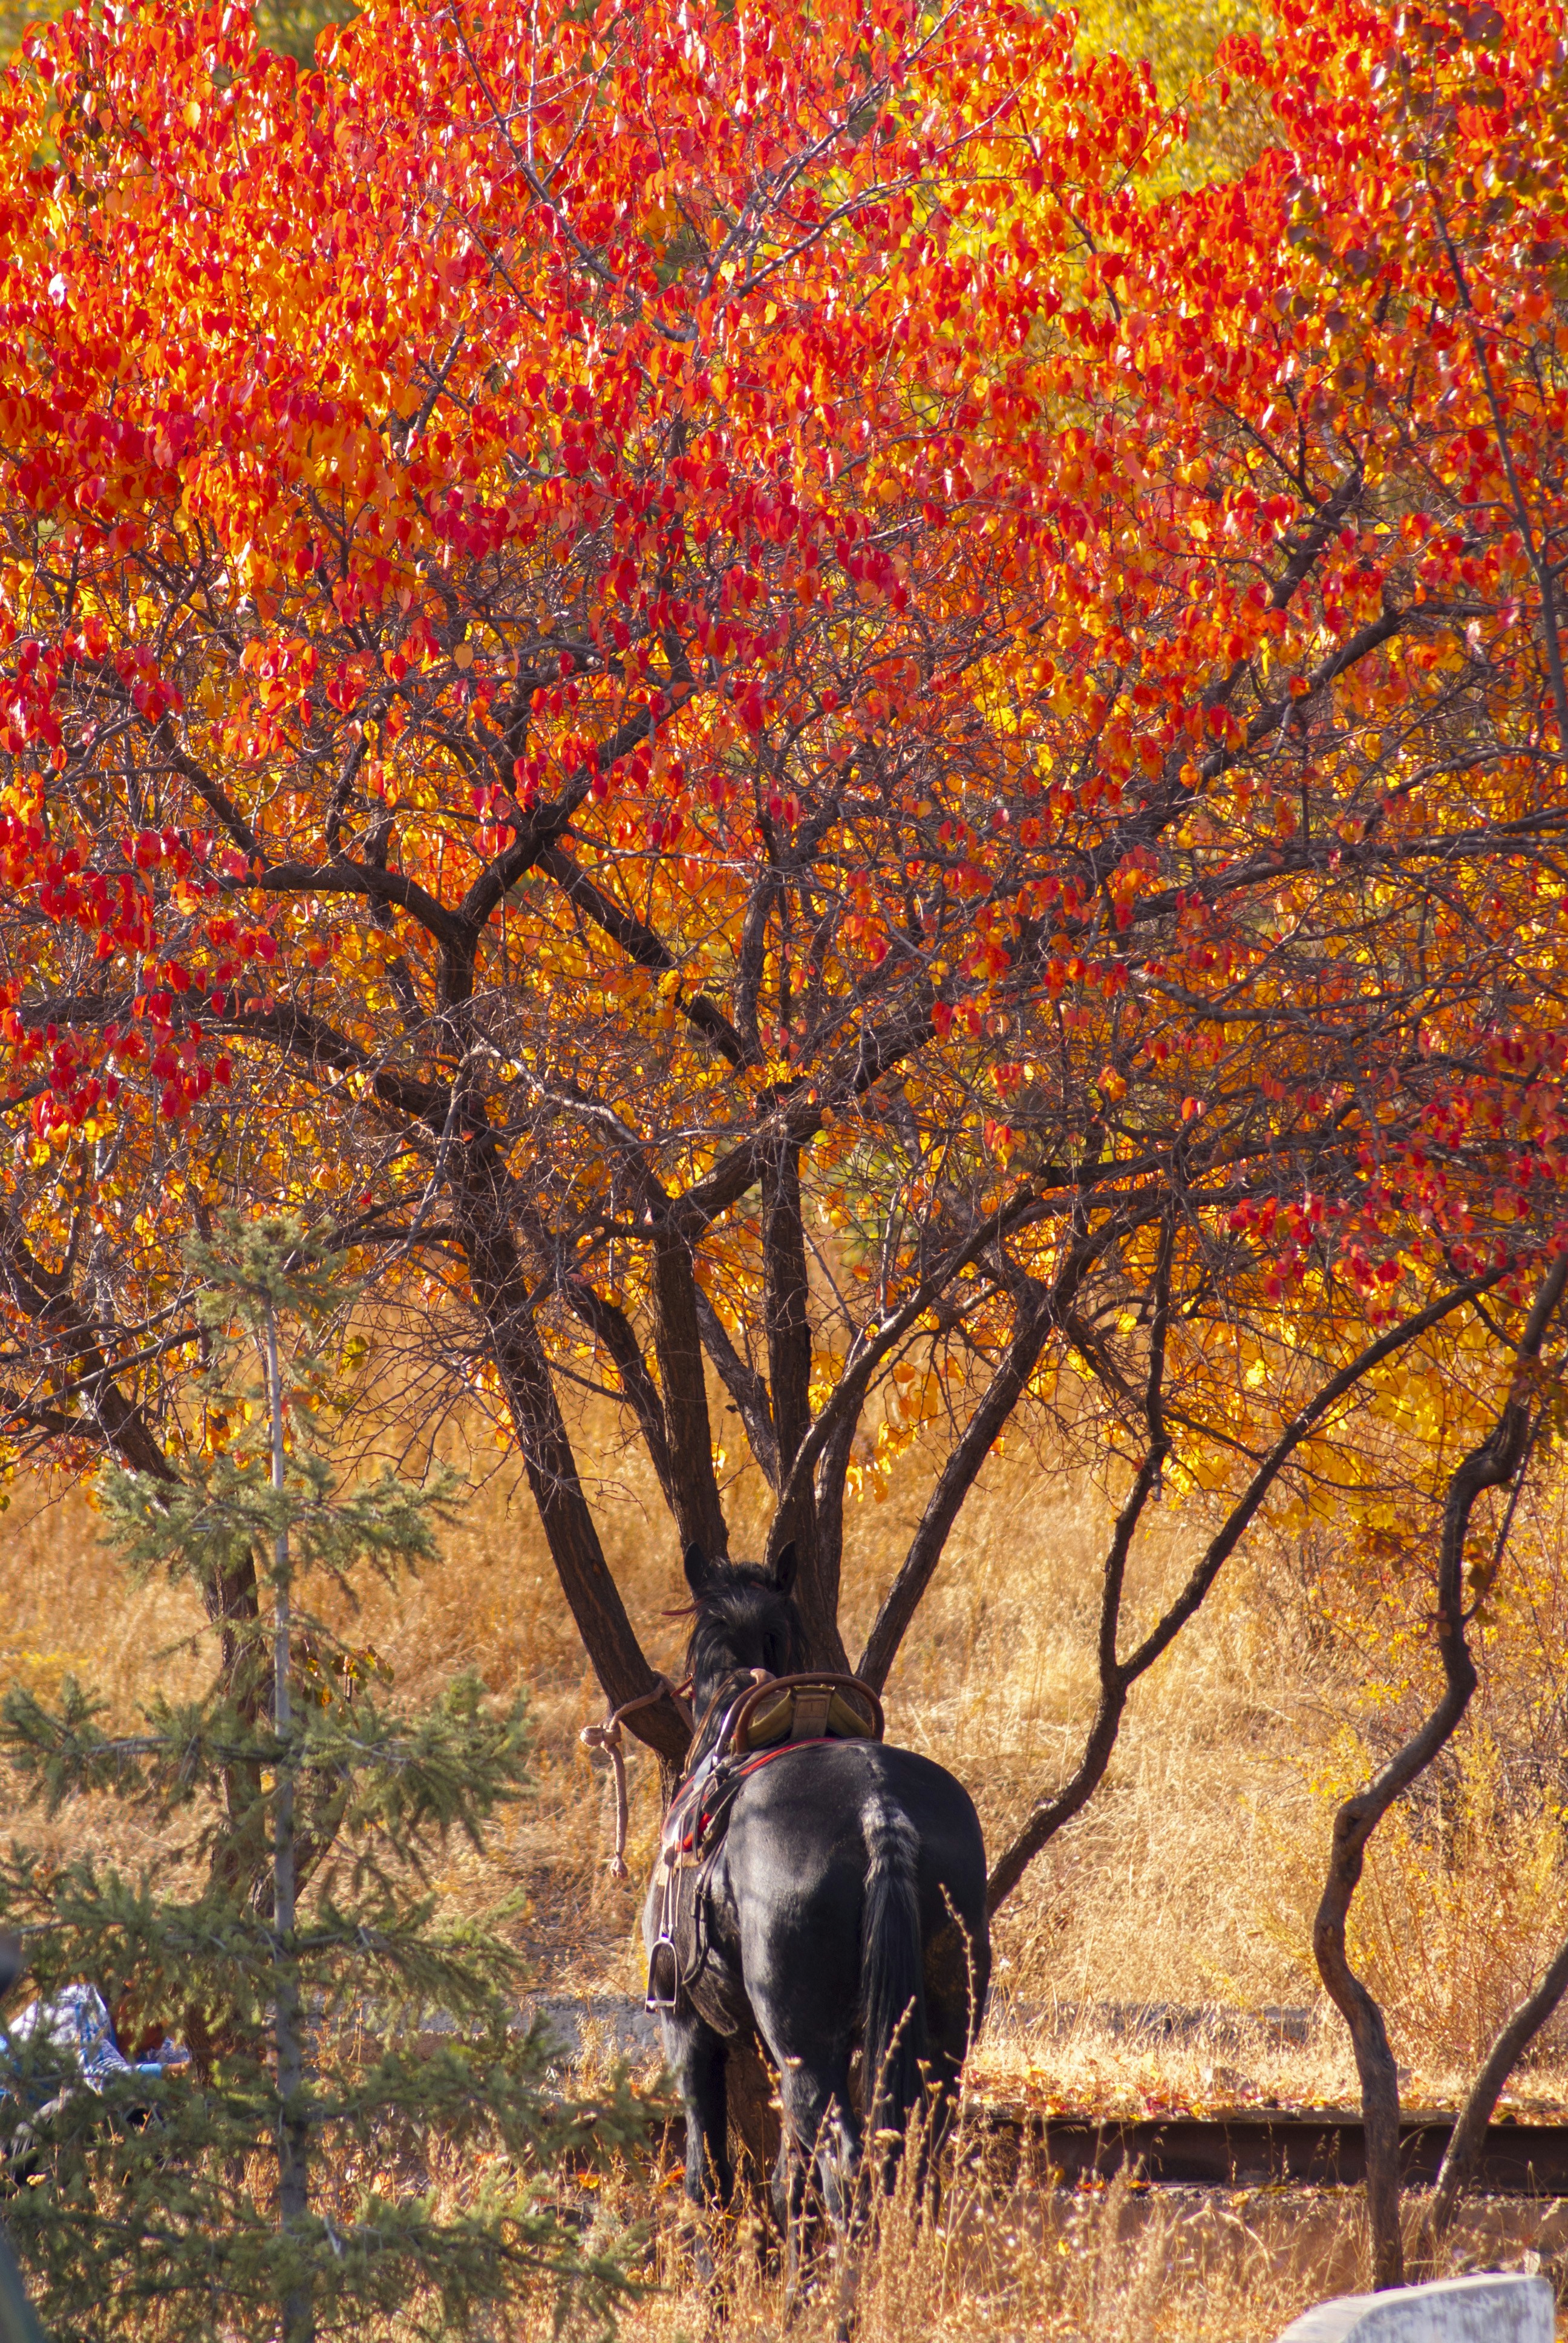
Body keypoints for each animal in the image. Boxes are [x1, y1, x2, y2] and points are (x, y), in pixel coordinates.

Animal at [644, 1540, 991, 2289]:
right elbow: (784, 2179)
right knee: (918, 2157)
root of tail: (879, 1810)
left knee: (845, 2168)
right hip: (944, 2028)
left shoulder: (688, 2029)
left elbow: (710, 2173)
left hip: (803, 2042)